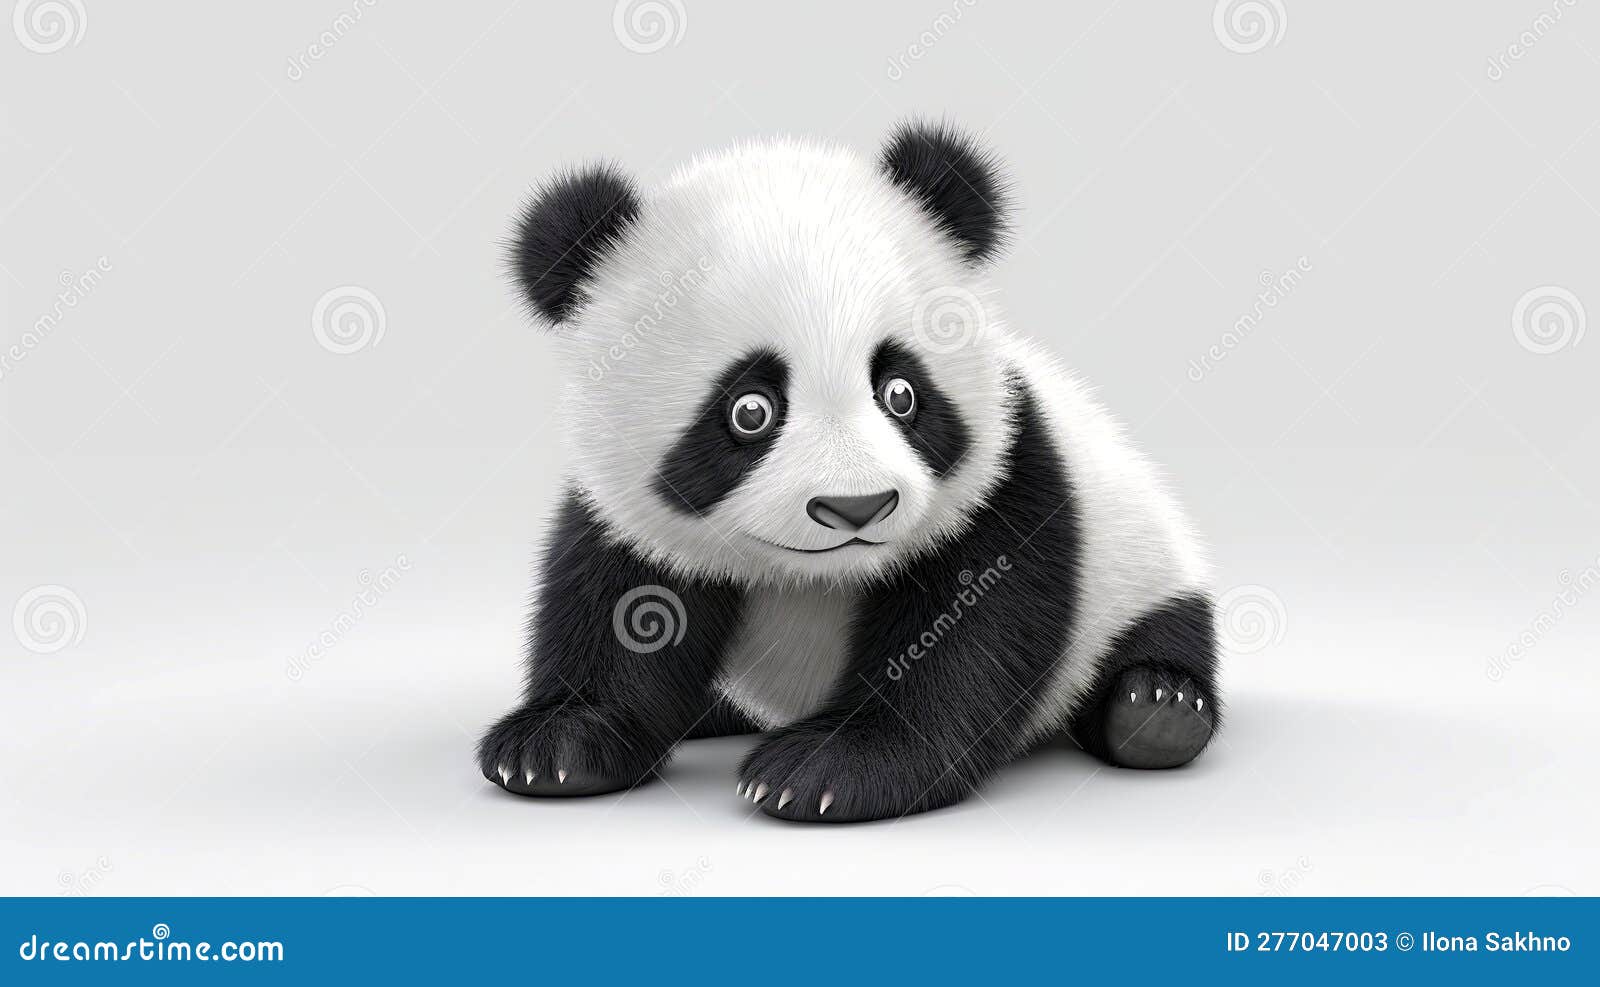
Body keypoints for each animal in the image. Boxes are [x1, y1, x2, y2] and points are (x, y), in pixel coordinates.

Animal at [478, 121, 1221, 823]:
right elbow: (624, 606)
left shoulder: (1011, 473)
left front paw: (830, 767)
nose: (858, 507)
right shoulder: (629, 513)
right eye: (750, 410)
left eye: (901, 393)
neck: (818, 574)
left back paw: (1156, 709)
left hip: (1138, 563)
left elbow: (969, 629)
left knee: (1163, 629)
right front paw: (557, 743)